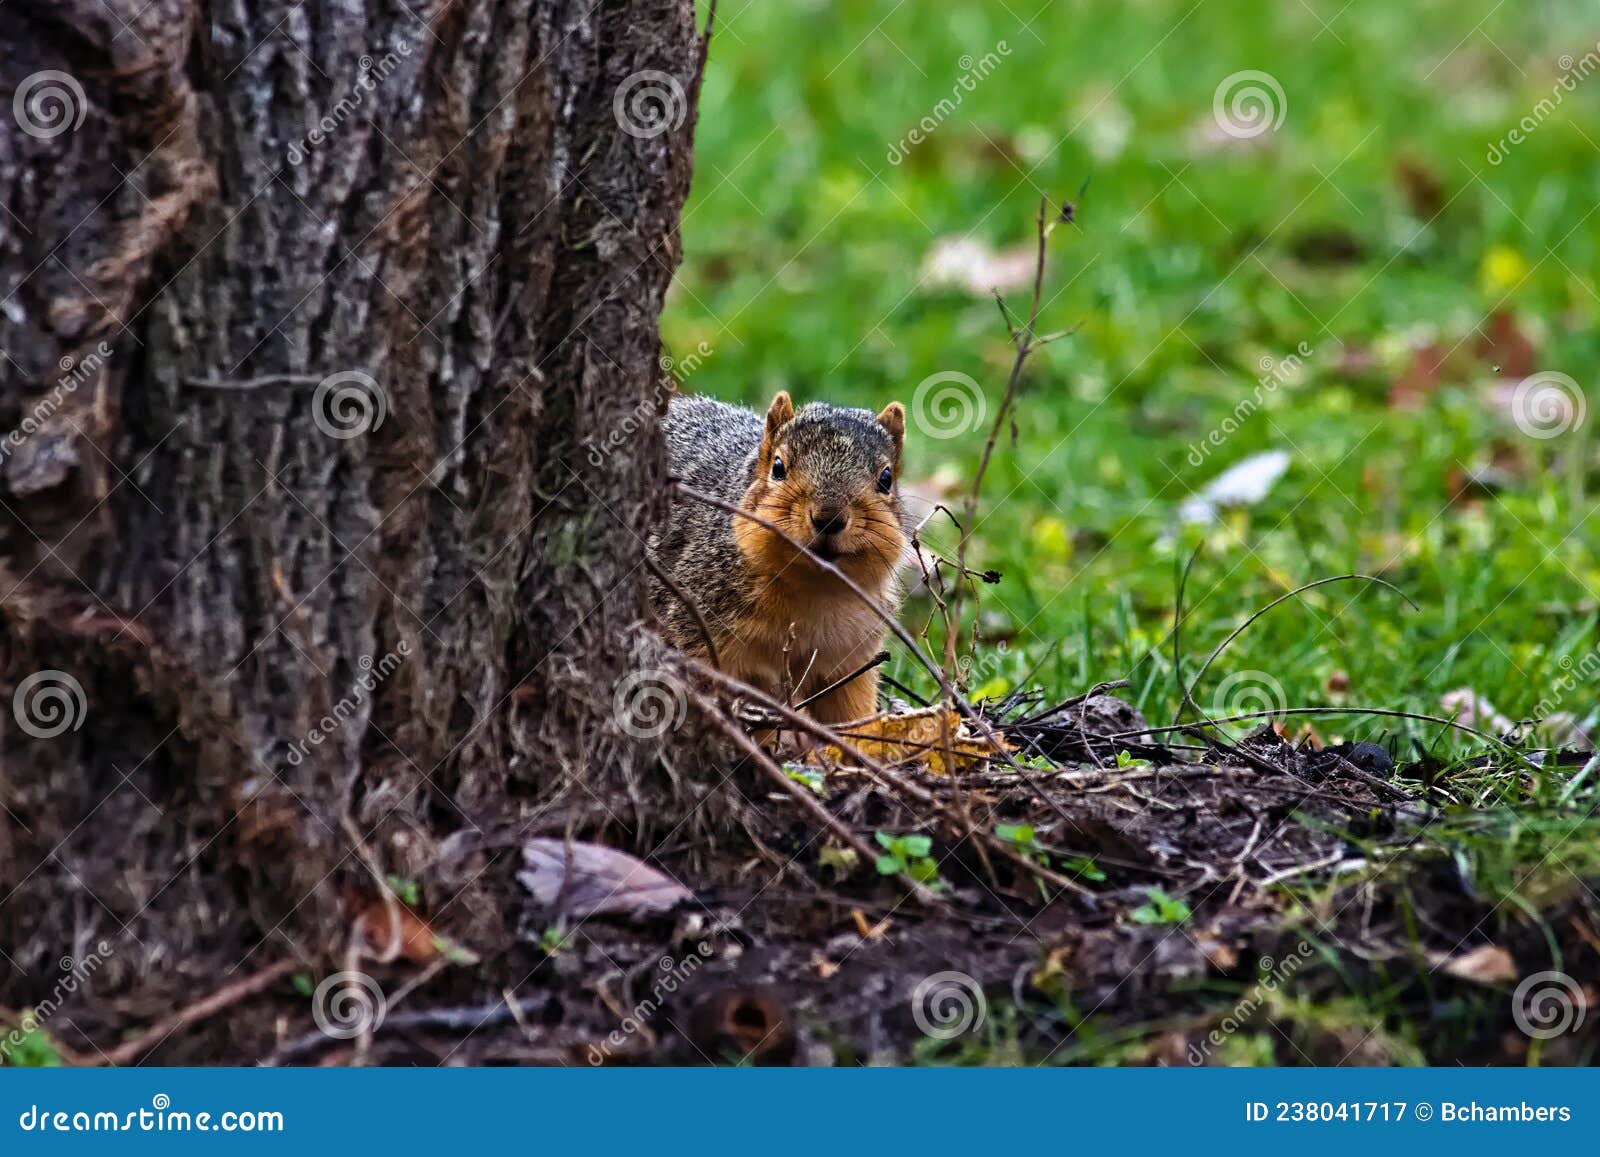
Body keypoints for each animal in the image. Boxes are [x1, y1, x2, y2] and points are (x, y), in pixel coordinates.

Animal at [648, 390, 910, 724]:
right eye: (778, 467)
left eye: (886, 479)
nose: (829, 517)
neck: (815, 591)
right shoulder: (700, 635)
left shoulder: (851, 660)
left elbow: (851, 713)